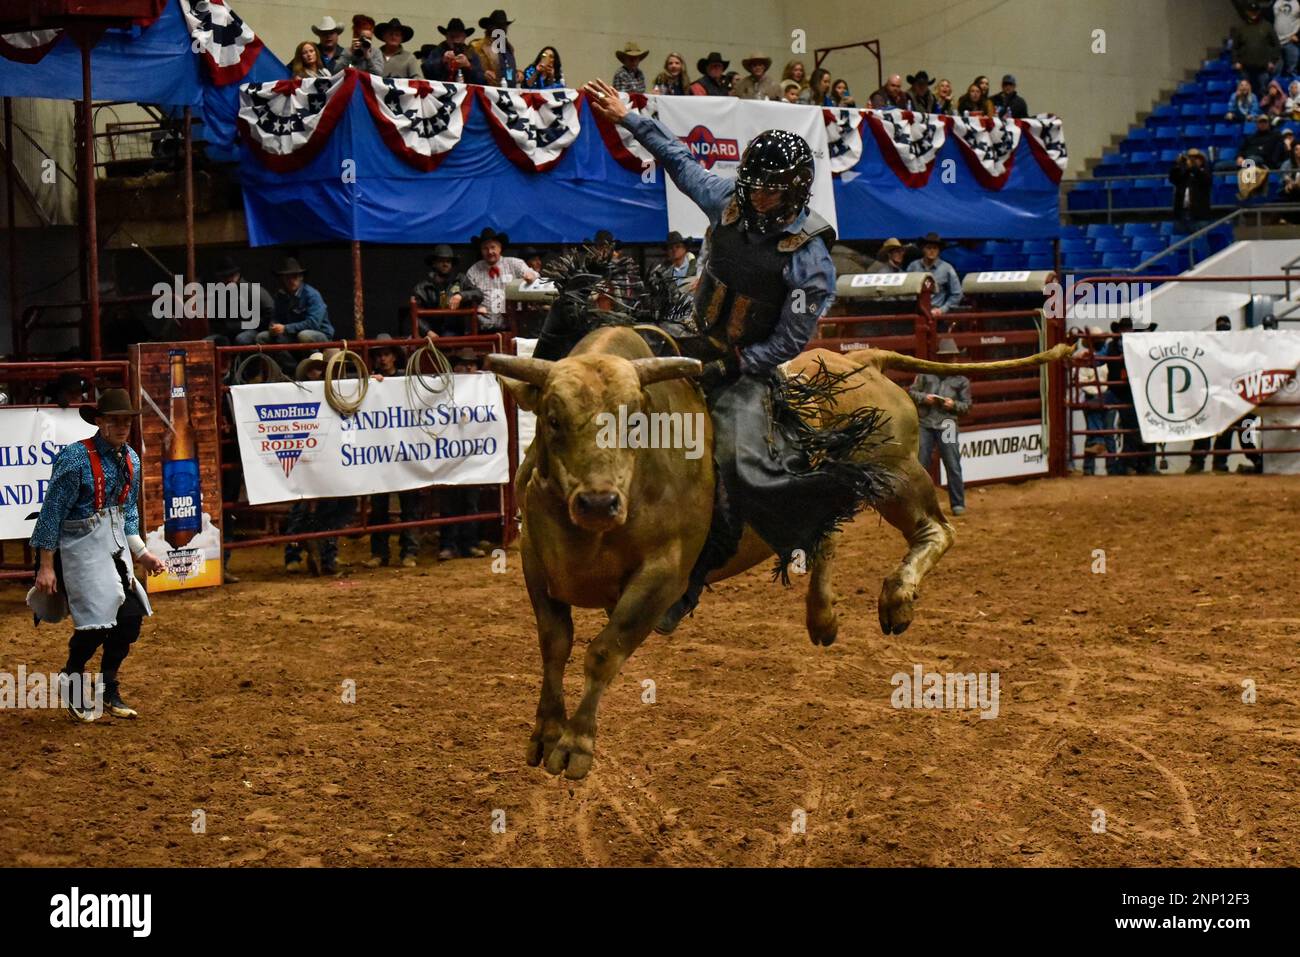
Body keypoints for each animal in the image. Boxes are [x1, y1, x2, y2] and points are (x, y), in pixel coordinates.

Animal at [488, 327, 1069, 778]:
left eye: (635, 420)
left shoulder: (662, 575)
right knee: (828, 537)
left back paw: (897, 599)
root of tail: (860, 359)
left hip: (895, 472)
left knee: (935, 530)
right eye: (553, 419)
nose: (598, 502)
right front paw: (545, 733)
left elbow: (603, 651)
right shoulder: (536, 566)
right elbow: (555, 646)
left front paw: (575, 746)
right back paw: (823, 617)